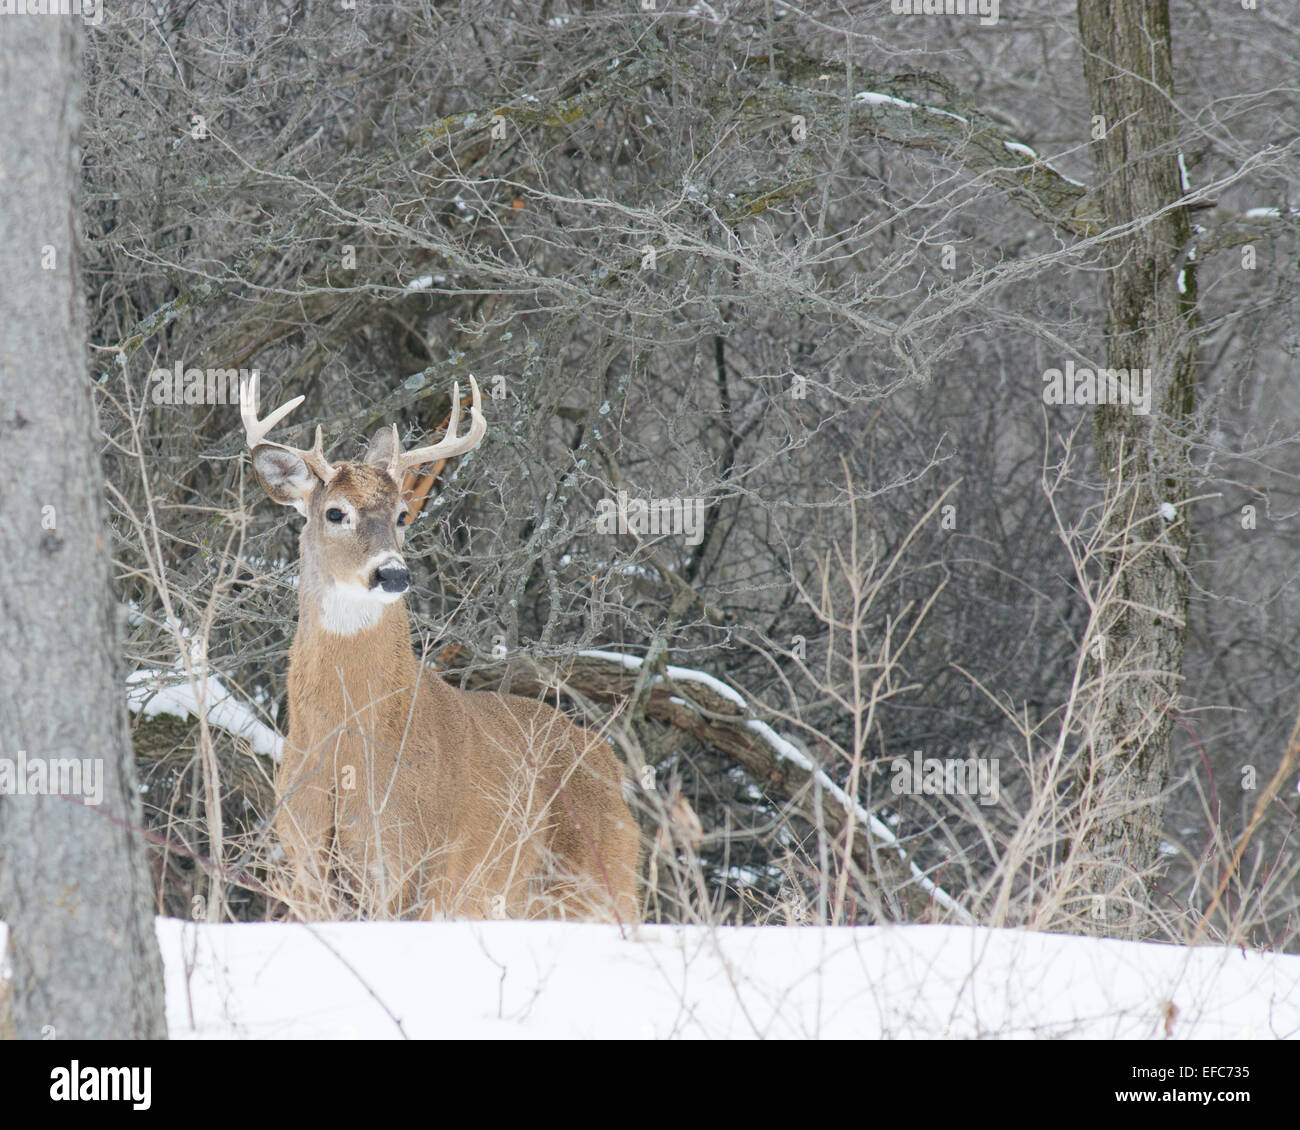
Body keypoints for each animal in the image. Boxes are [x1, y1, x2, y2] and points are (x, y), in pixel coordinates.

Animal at [240, 374, 640, 924]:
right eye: (335, 512)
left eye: (402, 515)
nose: (392, 573)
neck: (345, 746)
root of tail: (610, 765)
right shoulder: (304, 857)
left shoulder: (417, 858)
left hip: (602, 880)